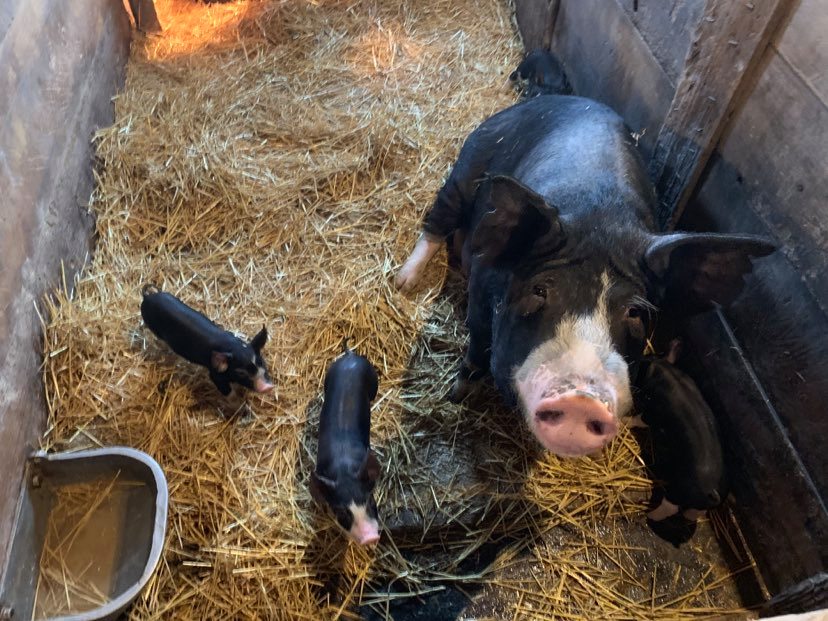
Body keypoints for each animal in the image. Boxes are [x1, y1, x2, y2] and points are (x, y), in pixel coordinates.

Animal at [140, 285, 274, 396]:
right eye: (241, 373)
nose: (267, 387)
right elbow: (228, 392)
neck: (233, 346)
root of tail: (147, 297)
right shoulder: (215, 374)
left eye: (261, 362)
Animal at [395, 51, 775, 457]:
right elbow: (477, 349)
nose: (581, 400)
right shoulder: (481, 298)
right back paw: (404, 282)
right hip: (466, 169)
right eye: (539, 291)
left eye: (635, 312)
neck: (599, 216)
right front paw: (458, 394)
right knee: (436, 222)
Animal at [632, 339, 726, 522]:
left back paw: (647, 515)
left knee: (670, 508)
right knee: (694, 512)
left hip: (679, 490)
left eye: (641, 366)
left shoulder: (654, 411)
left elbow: (640, 419)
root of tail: (712, 492)